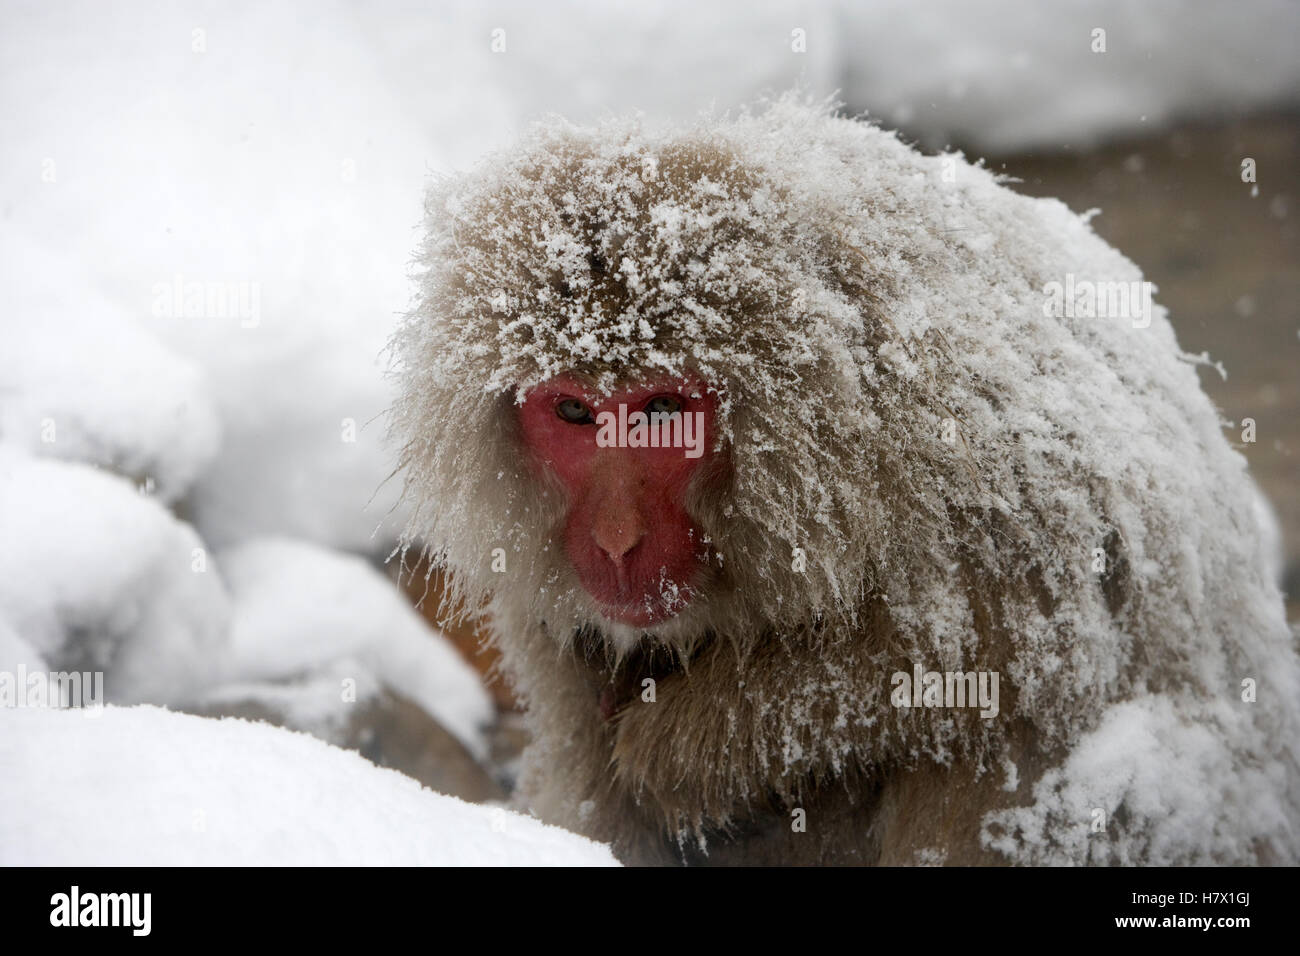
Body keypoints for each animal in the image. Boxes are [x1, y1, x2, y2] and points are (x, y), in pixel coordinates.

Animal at [388, 96, 1300, 865]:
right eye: (576, 412)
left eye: (661, 409)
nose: (615, 539)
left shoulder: (972, 452)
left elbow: (1007, 652)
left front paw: (693, 744)